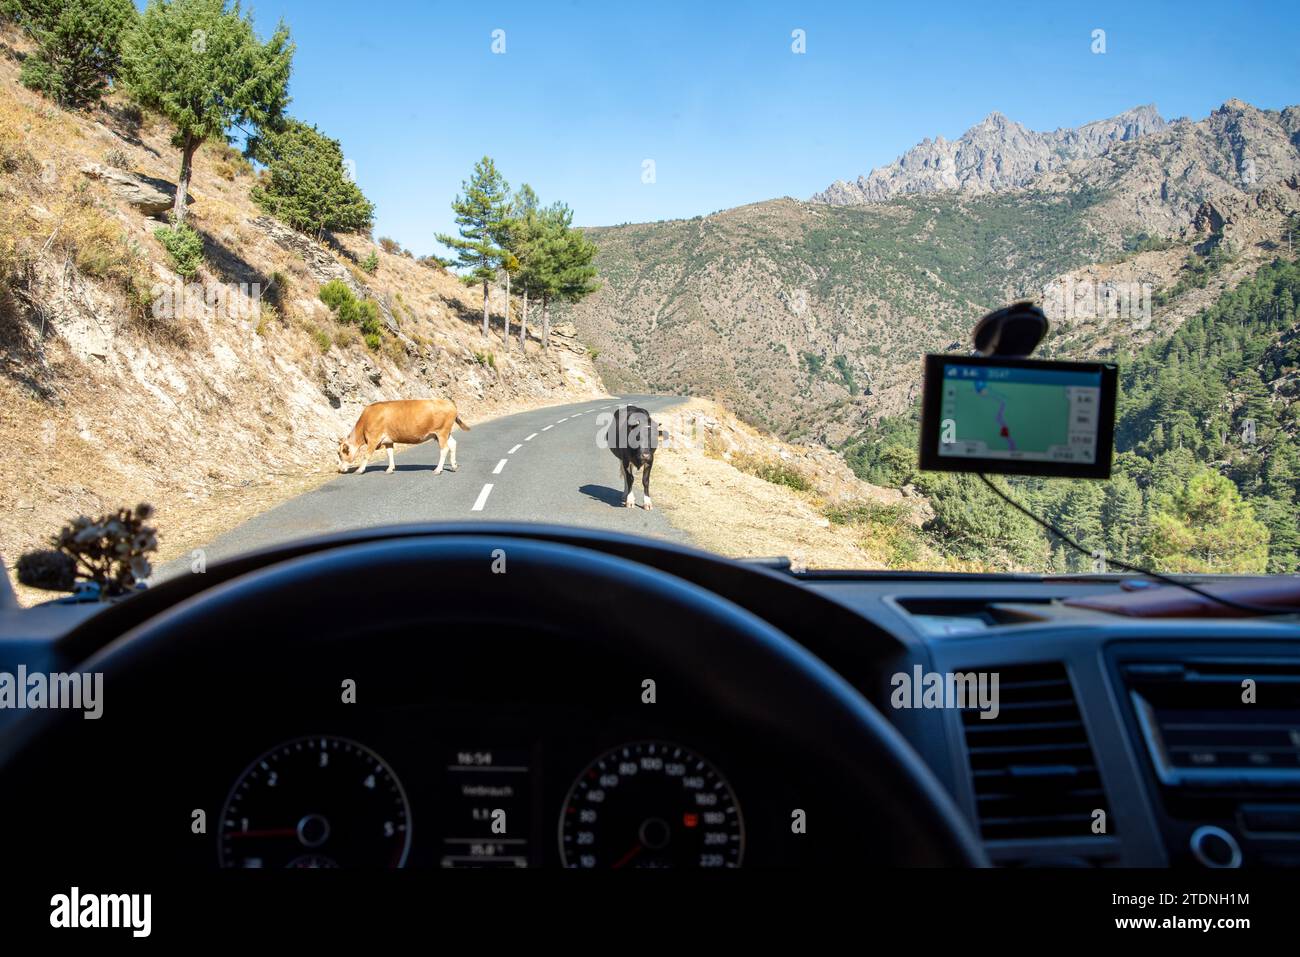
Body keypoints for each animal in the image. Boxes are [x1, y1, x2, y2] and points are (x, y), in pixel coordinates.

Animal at [337, 398, 471, 475]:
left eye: (340, 453)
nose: (340, 469)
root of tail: (449, 403)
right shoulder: (388, 441)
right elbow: (390, 454)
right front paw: (390, 469)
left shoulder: (373, 439)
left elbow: (366, 455)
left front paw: (360, 470)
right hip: (444, 433)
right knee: (453, 444)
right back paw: (453, 466)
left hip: (441, 432)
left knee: (444, 449)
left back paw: (438, 470)